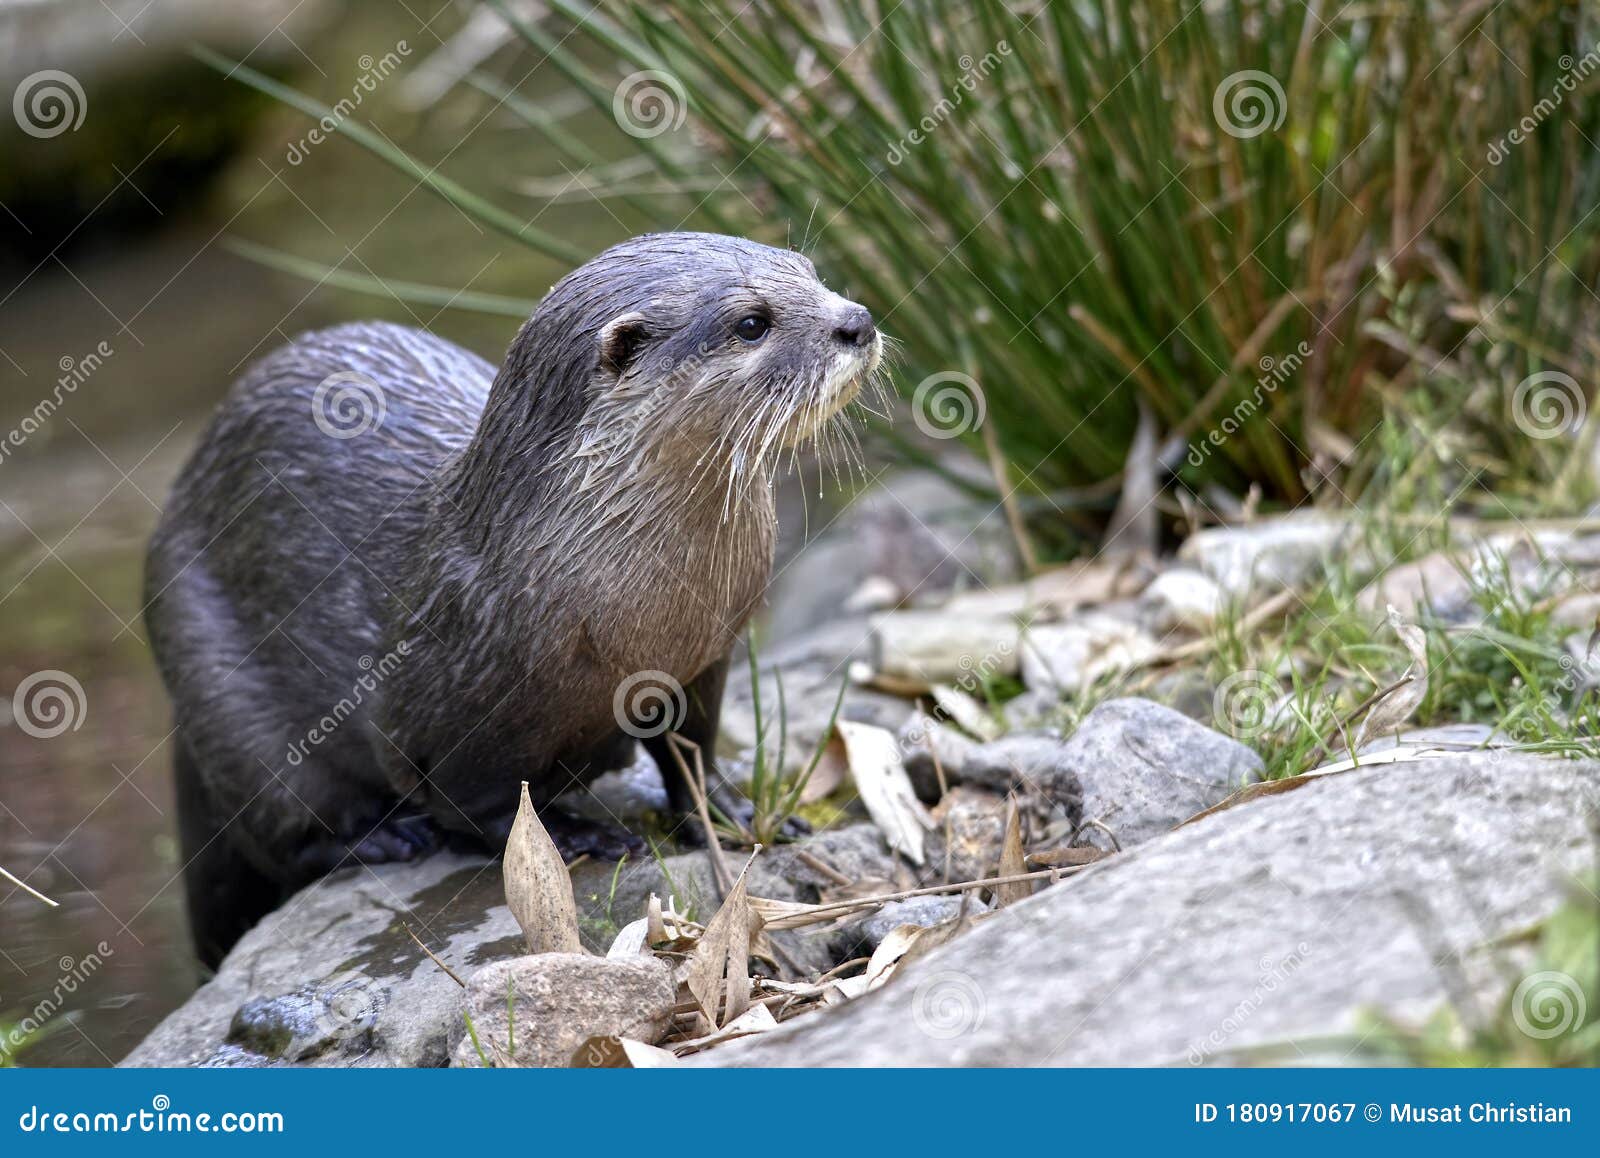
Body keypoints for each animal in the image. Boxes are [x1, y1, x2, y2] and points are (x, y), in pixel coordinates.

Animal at [145, 232, 881, 967]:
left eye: (809, 272)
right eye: (751, 323)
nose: (859, 320)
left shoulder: (703, 660)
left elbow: (690, 751)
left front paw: (737, 813)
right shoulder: (445, 697)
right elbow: (474, 802)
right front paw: (581, 833)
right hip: (220, 690)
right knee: (287, 827)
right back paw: (383, 838)